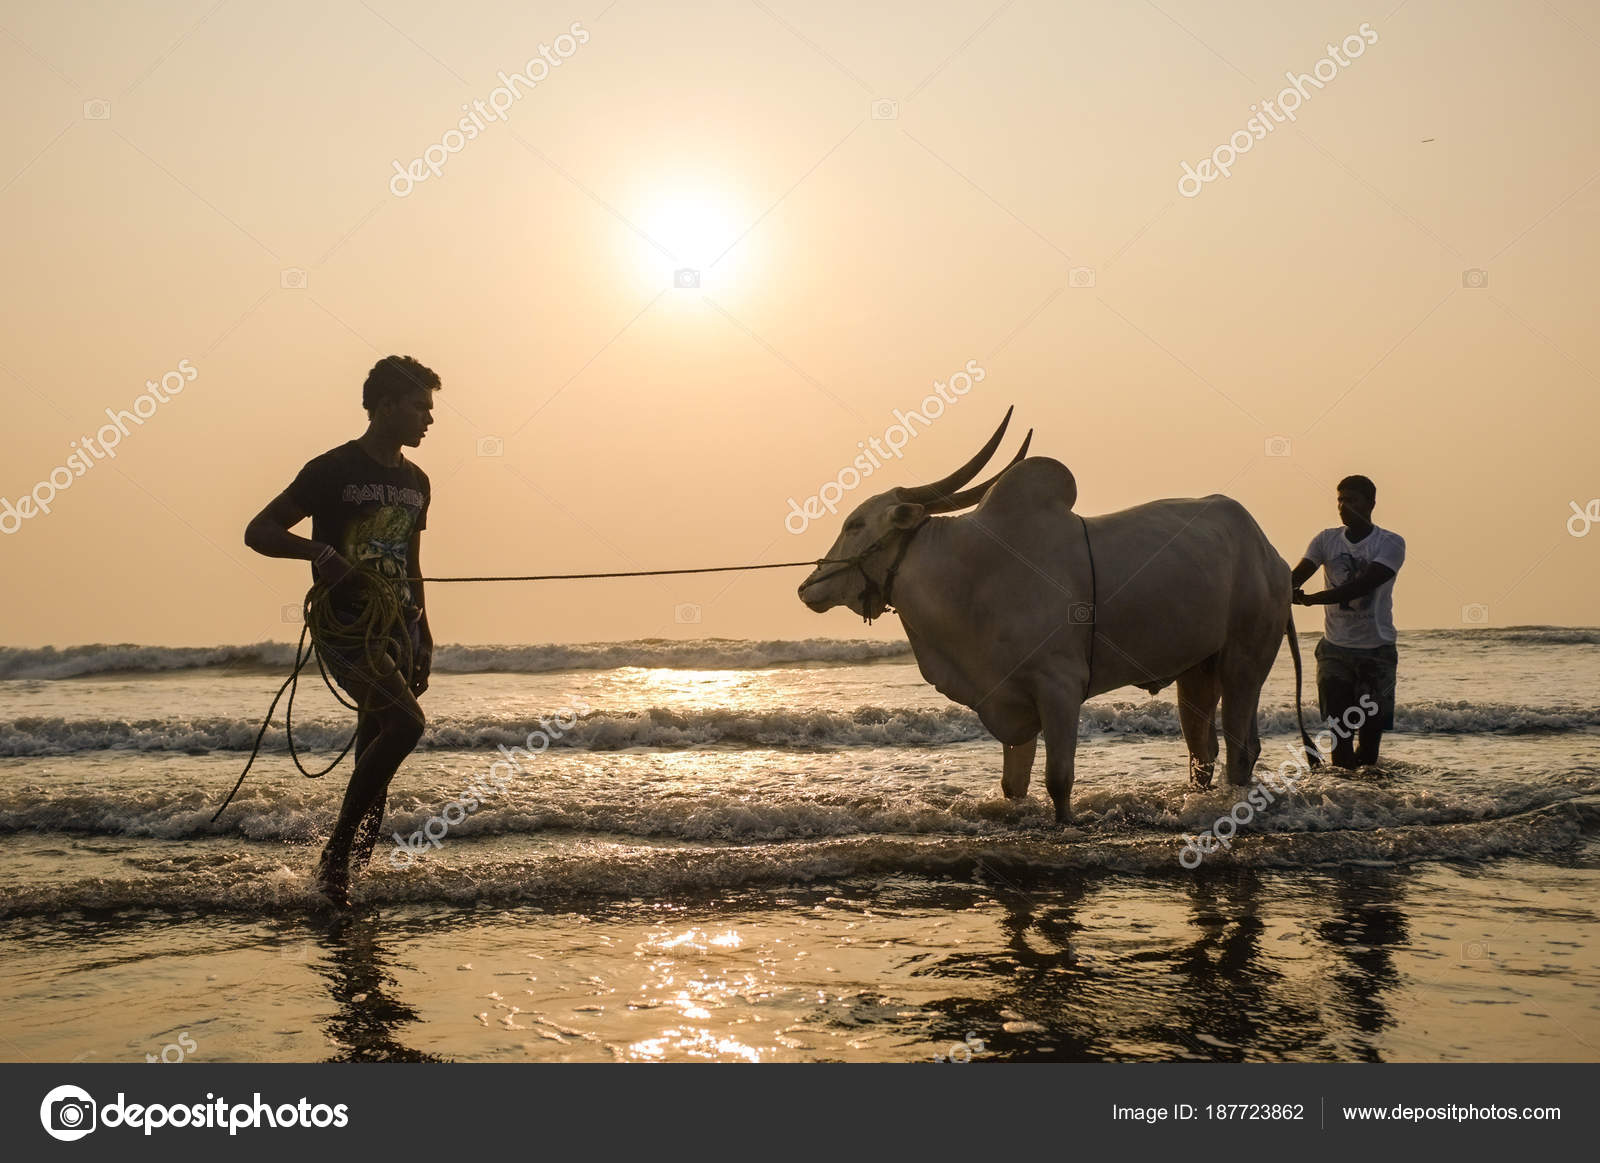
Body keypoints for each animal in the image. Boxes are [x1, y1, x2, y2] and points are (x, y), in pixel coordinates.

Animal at [797, 407, 1320, 823]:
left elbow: (1059, 781)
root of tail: (1272, 556)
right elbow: (1014, 785)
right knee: (1203, 753)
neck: (970, 572)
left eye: (855, 524)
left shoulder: (1059, 688)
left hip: (1245, 659)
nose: (807, 587)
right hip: (1197, 670)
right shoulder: (1008, 696)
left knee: (1240, 750)